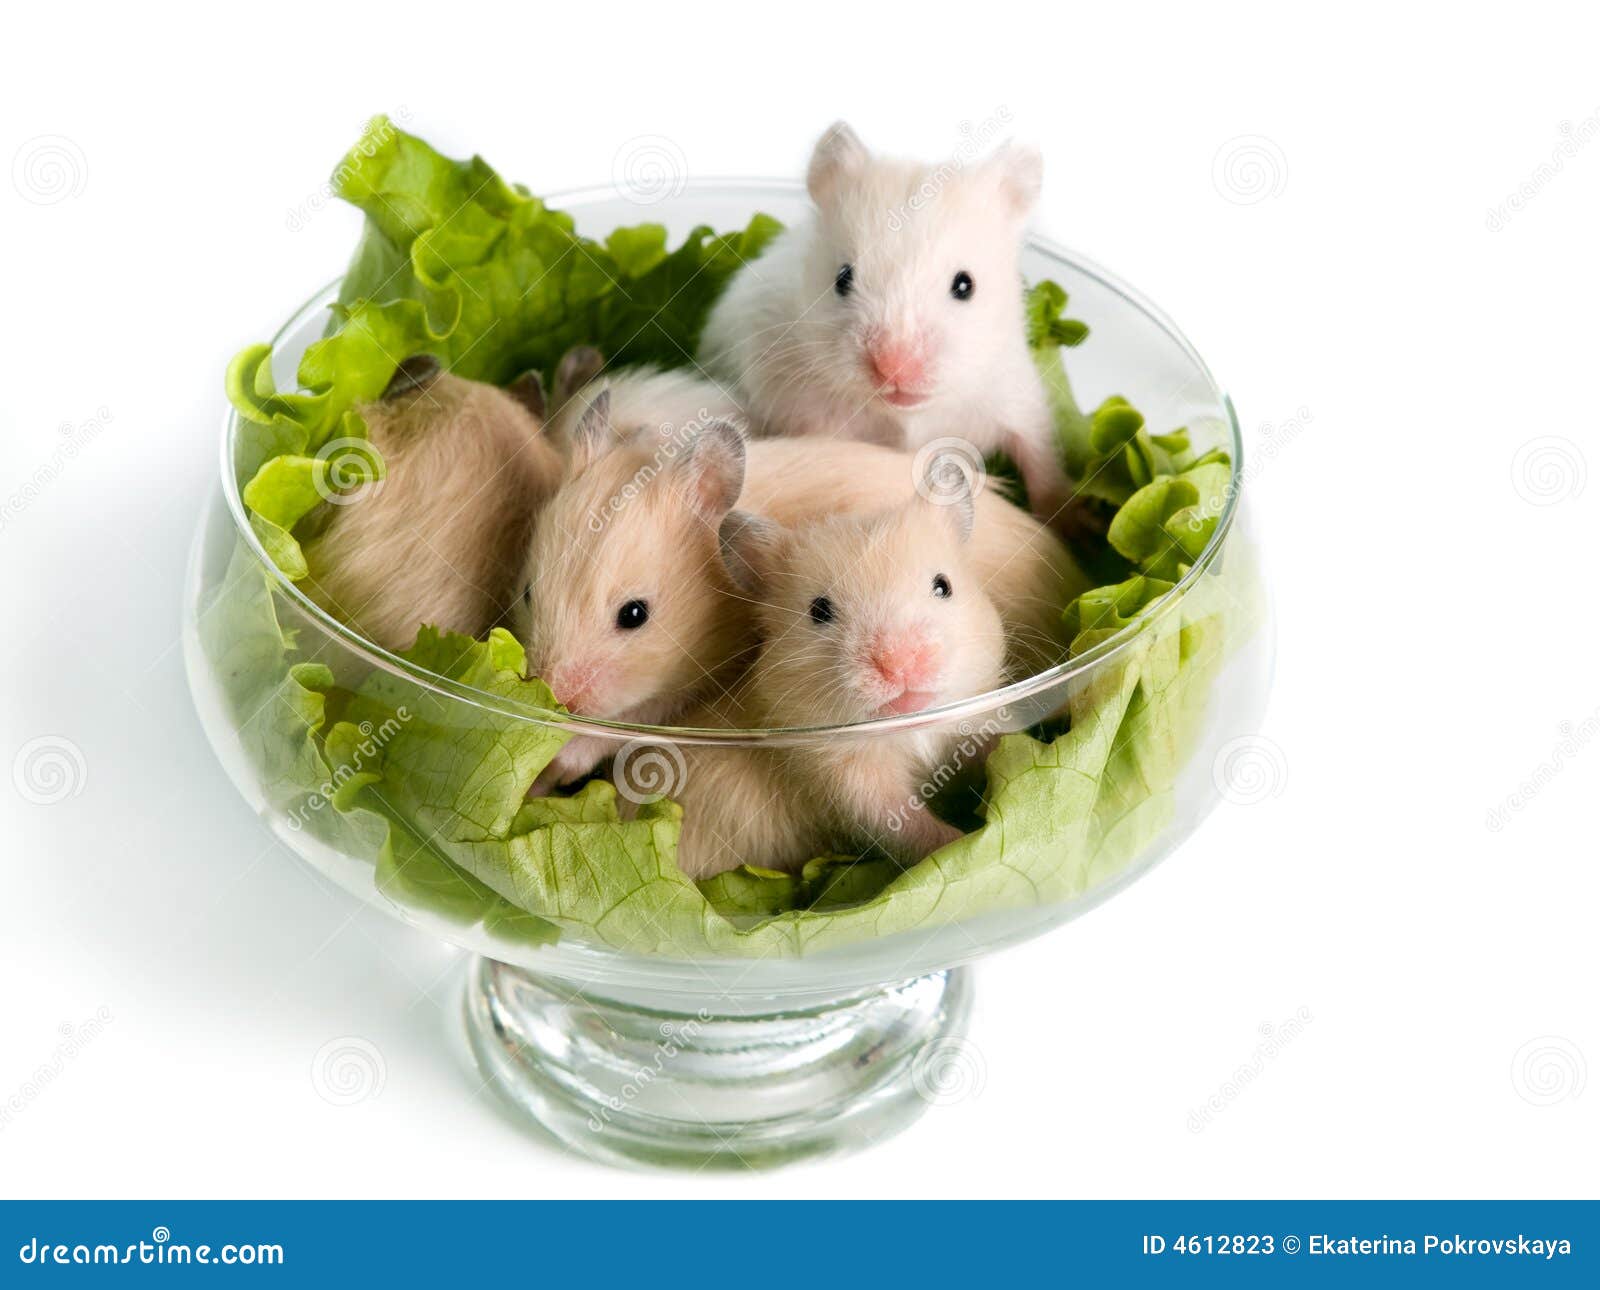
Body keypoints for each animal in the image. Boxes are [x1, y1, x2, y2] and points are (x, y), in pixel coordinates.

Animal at [515, 373, 1084, 790]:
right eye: (525, 593)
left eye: (634, 615)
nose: (555, 696)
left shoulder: (712, 681)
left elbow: (633, 720)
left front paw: (556, 763)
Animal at [661, 471, 1006, 879]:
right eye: (820, 611)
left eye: (943, 586)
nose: (899, 664)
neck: (911, 729)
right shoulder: (847, 780)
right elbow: (902, 823)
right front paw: (961, 844)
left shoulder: (968, 724)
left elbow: (989, 747)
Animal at [699, 121, 1076, 529]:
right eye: (842, 278)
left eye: (965, 285)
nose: (895, 368)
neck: (904, 415)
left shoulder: (1016, 395)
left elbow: (1042, 462)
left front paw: (1074, 525)